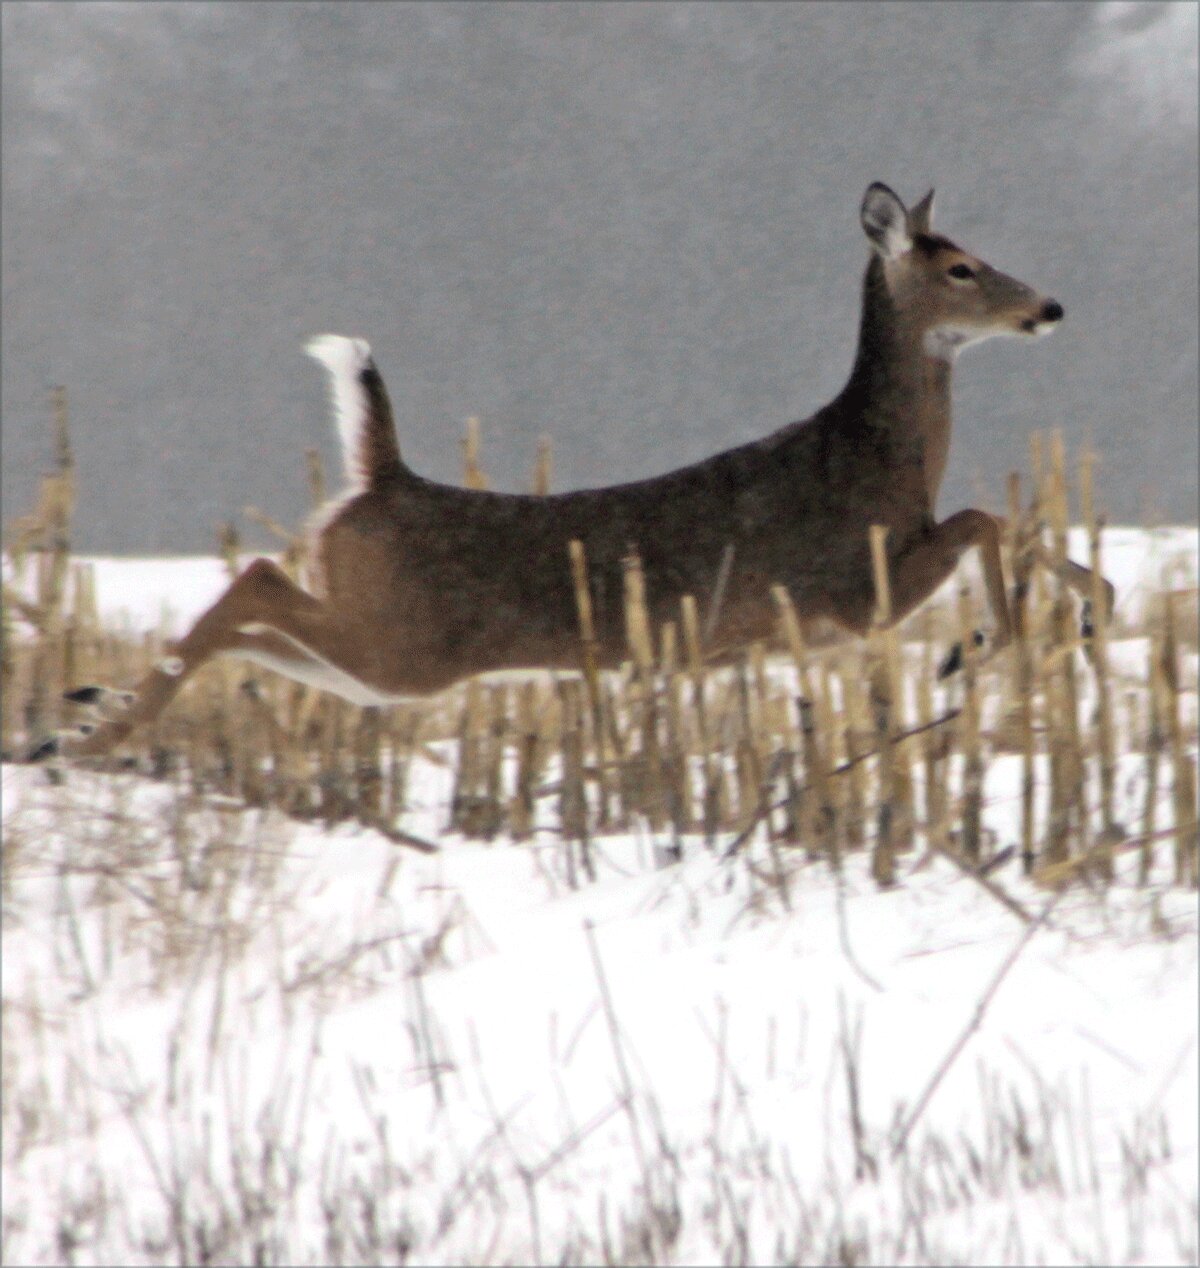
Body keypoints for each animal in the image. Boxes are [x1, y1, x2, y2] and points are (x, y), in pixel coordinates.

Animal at [37, 182, 1112, 761]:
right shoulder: (855, 589)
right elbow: (986, 518)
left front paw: (1079, 609)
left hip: (381, 660)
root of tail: (384, 480)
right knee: (254, 582)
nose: (1050, 307)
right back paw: (98, 729)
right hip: (400, 644)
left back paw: (90, 713)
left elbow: (1003, 518)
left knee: (258, 612)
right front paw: (986, 642)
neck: (879, 464)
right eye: (962, 267)